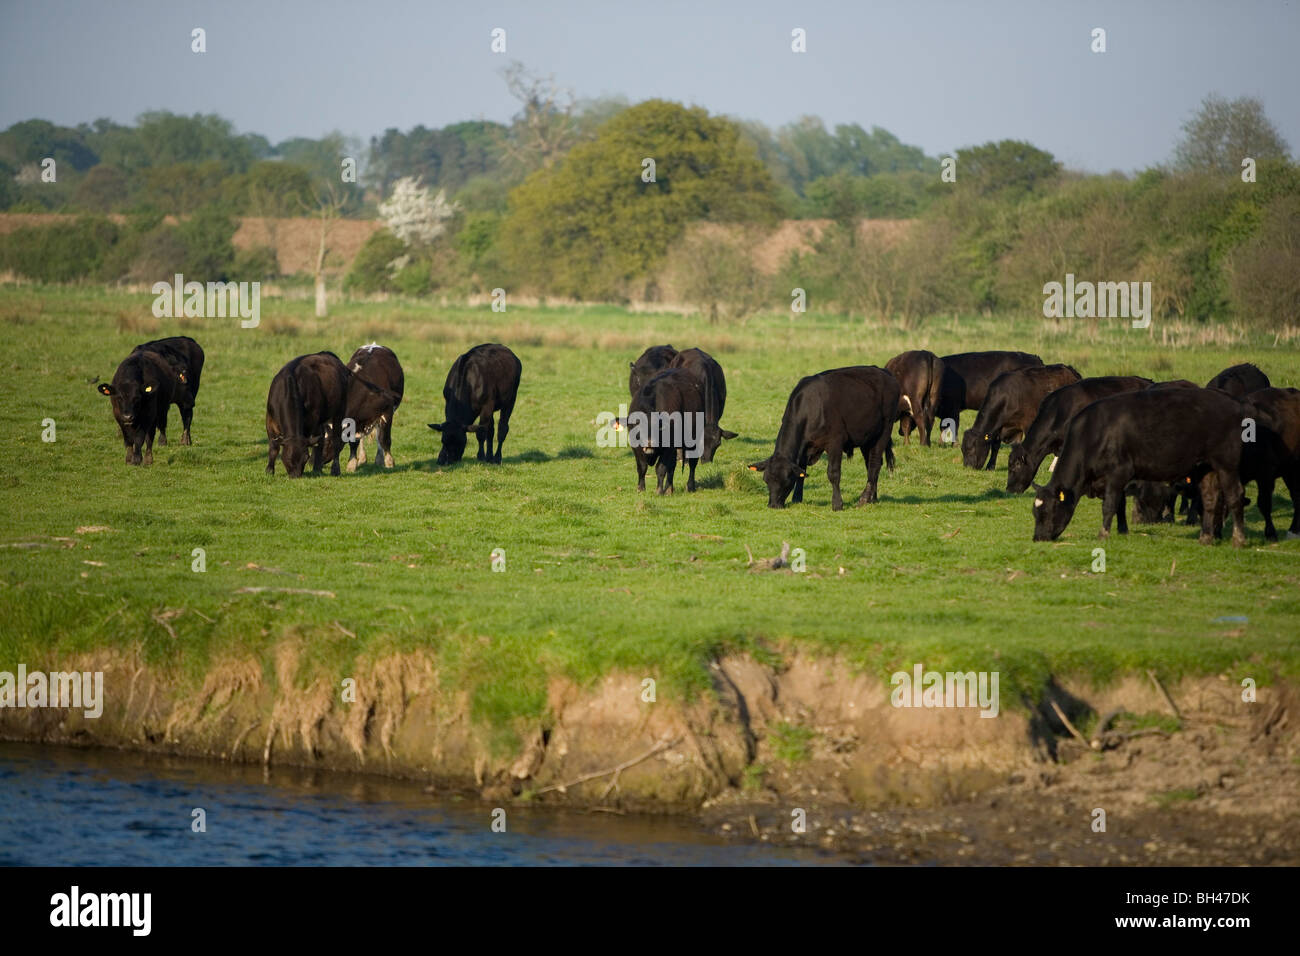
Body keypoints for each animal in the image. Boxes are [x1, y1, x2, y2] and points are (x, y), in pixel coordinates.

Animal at [342, 344, 404, 472]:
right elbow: (354, 441)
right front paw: (352, 463)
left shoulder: (387, 411)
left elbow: (384, 439)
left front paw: (389, 462)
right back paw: (362, 458)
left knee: (379, 435)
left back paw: (379, 458)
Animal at [749, 366, 899, 510]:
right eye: (766, 480)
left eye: (786, 481)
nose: (773, 505)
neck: (812, 407)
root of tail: (885, 372)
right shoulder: (805, 446)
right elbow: (802, 472)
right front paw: (797, 498)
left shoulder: (835, 442)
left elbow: (833, 473)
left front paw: (837, 504)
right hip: (867, 438)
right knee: (871, 465)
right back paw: (873, 498)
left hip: (885, 430)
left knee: (874, 465)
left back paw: (864, 499)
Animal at [1032, 389, 1249, 547]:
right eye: (1035, 513)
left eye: (1048, 511)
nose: (1037, 538)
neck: (1094, 433)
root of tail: (1232, 402)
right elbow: (1118, 504)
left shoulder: (1119, 473)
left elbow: (1110, 505)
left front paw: (1103, 534)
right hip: (1206, 466)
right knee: (1210, 498)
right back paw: (1206, 538)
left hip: (1226, 464)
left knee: (1234, 496)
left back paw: (1239, 539)